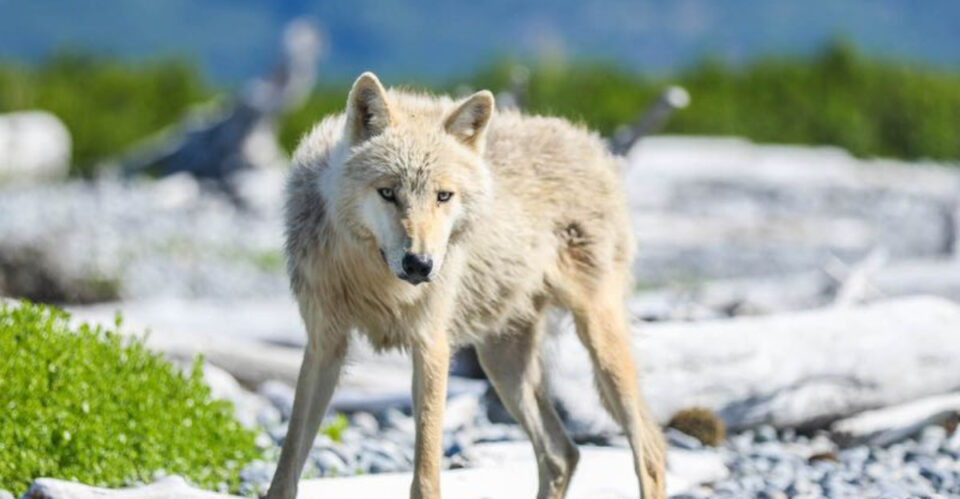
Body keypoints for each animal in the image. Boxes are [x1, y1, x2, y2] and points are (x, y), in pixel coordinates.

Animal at [266, 72, 666, 499]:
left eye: (443, 196)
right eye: (388, 192)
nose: (419, 264)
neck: (375, 279)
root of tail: (594, 146)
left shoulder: (432, 346)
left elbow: (425, 475)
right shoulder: (324, 346)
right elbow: (288, 463)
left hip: (599, 346)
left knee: (649, 451)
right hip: (503, 366)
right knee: (563, 453)